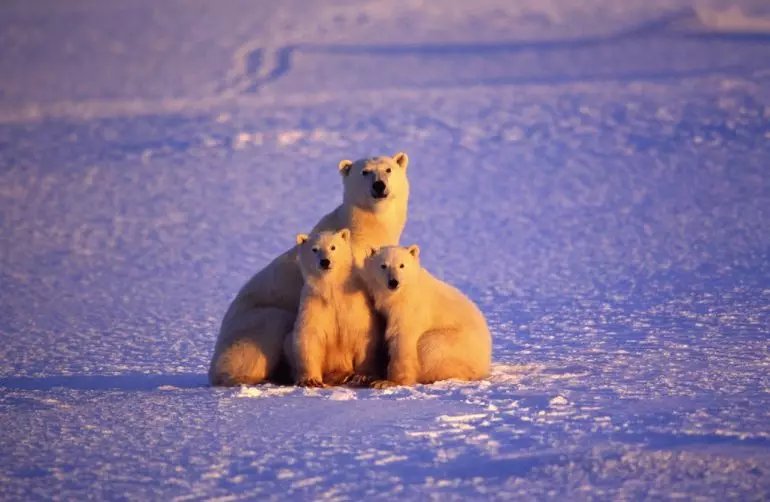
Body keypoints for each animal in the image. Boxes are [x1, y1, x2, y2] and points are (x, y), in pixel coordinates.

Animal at [284, 229, 384, 386]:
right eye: (314, 249)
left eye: (333, 247)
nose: (325, 261)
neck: (332, 291)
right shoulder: (314, 304)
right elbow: (309, 335)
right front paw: (311, 380)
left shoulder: (354, 304)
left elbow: (363, 333)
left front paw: (363, 376)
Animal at [358, 245, 488, 386]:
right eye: (383, 265)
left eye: (402, 265)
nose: (393, 282)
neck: (401, 293)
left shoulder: (411, 308)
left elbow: (402, 337)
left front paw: (387, 382)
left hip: (453, 343)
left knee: (429, 345)